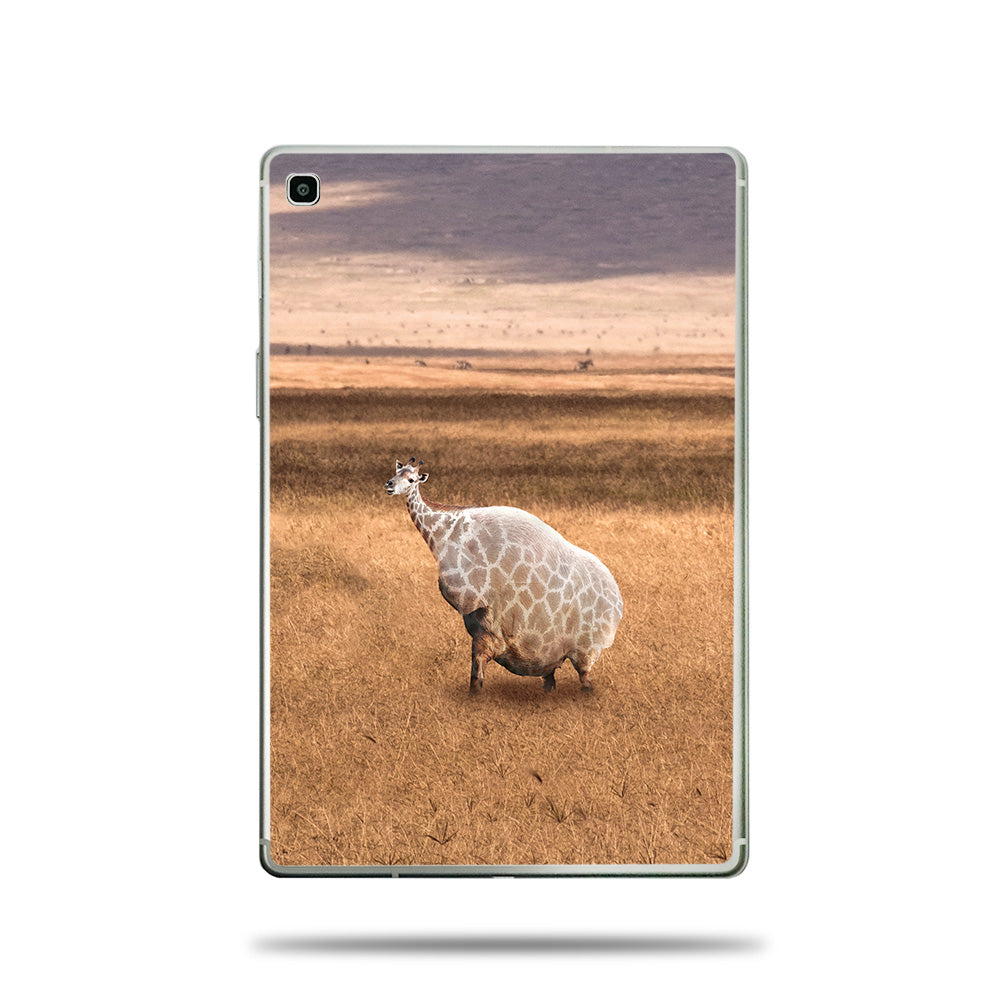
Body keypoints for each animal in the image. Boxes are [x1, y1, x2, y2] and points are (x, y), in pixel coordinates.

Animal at [384, 459, 623, 695]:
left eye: (412, 479)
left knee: (586, 681)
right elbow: (476, 680)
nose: (389, 485)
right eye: (396, 471)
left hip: (586, 648)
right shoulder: (484, 631)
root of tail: (617, 600)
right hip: (554, 656)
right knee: (551, 678)